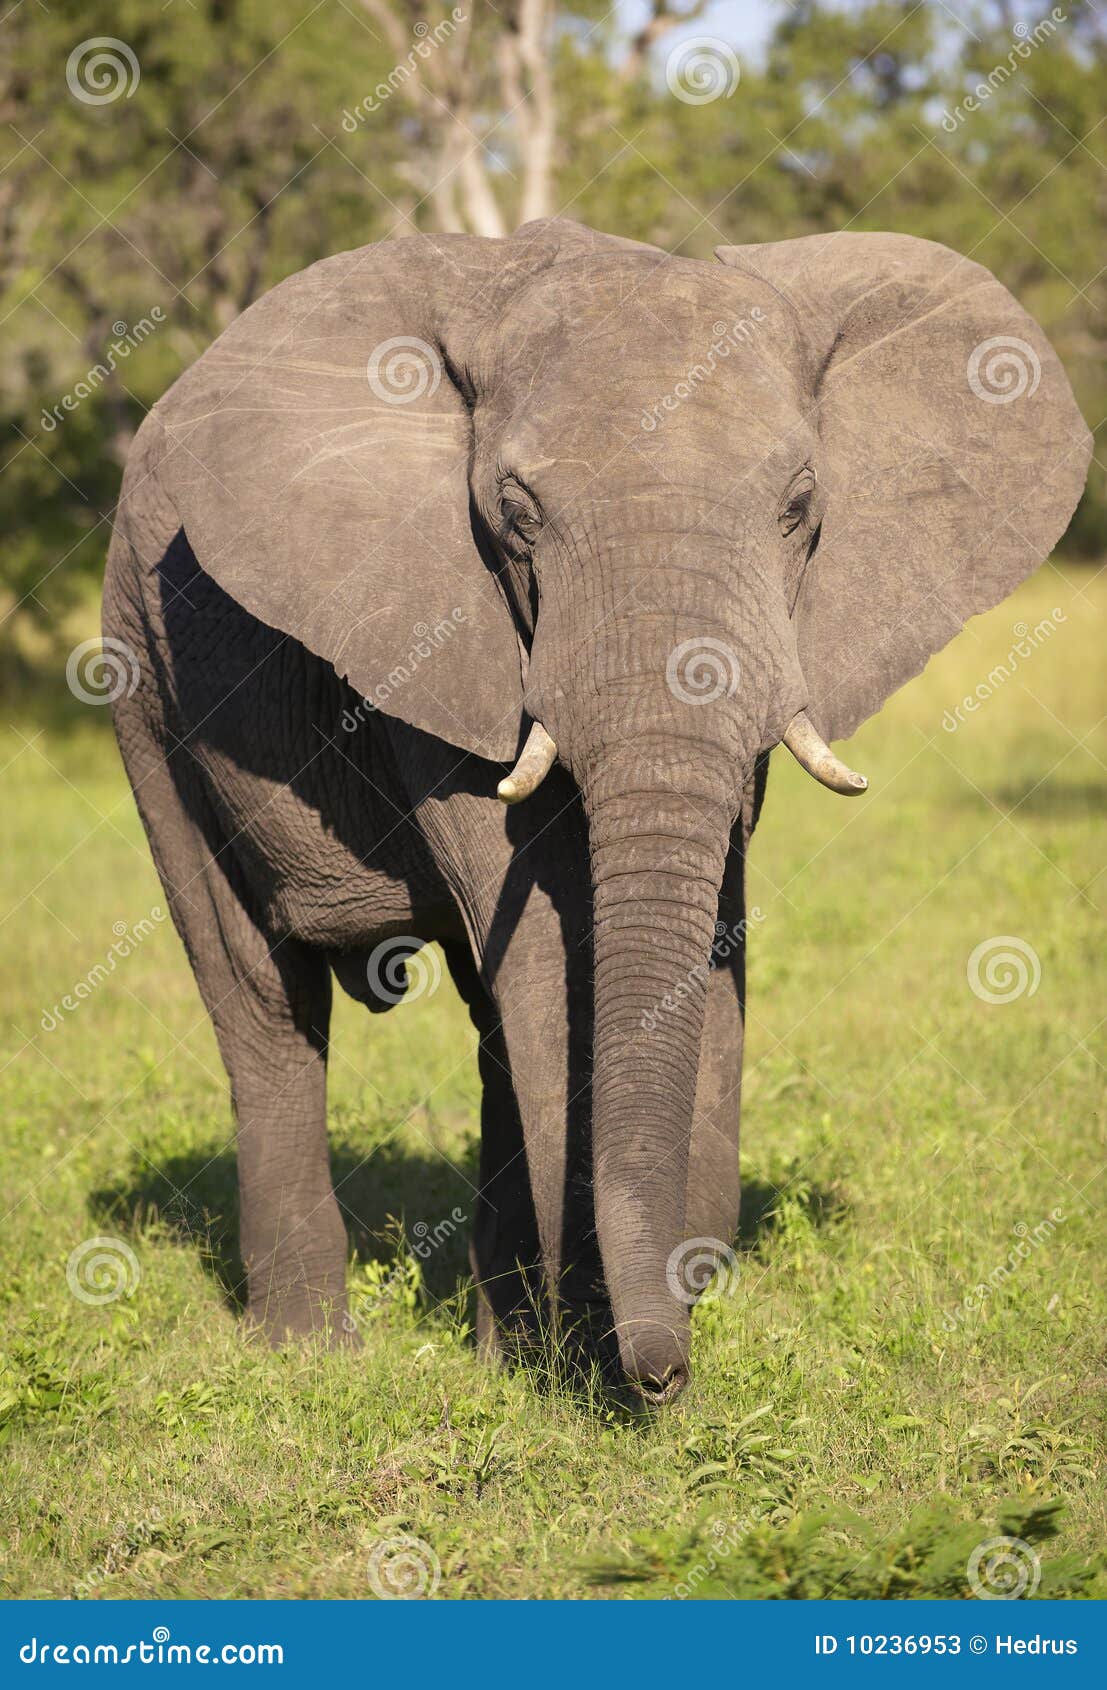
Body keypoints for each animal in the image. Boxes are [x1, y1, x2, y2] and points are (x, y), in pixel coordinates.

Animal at [103, 216, 1089, 1403]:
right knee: (257, 992)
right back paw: (311, 1358)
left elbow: (692, 936)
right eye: (515, 516)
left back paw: (498, 1345)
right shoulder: (439, 622)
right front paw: (601, 1370)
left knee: (478, 1018)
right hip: (141, 675)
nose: (665, 1375)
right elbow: (543, 947)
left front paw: (607, 1344)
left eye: (800, 508)